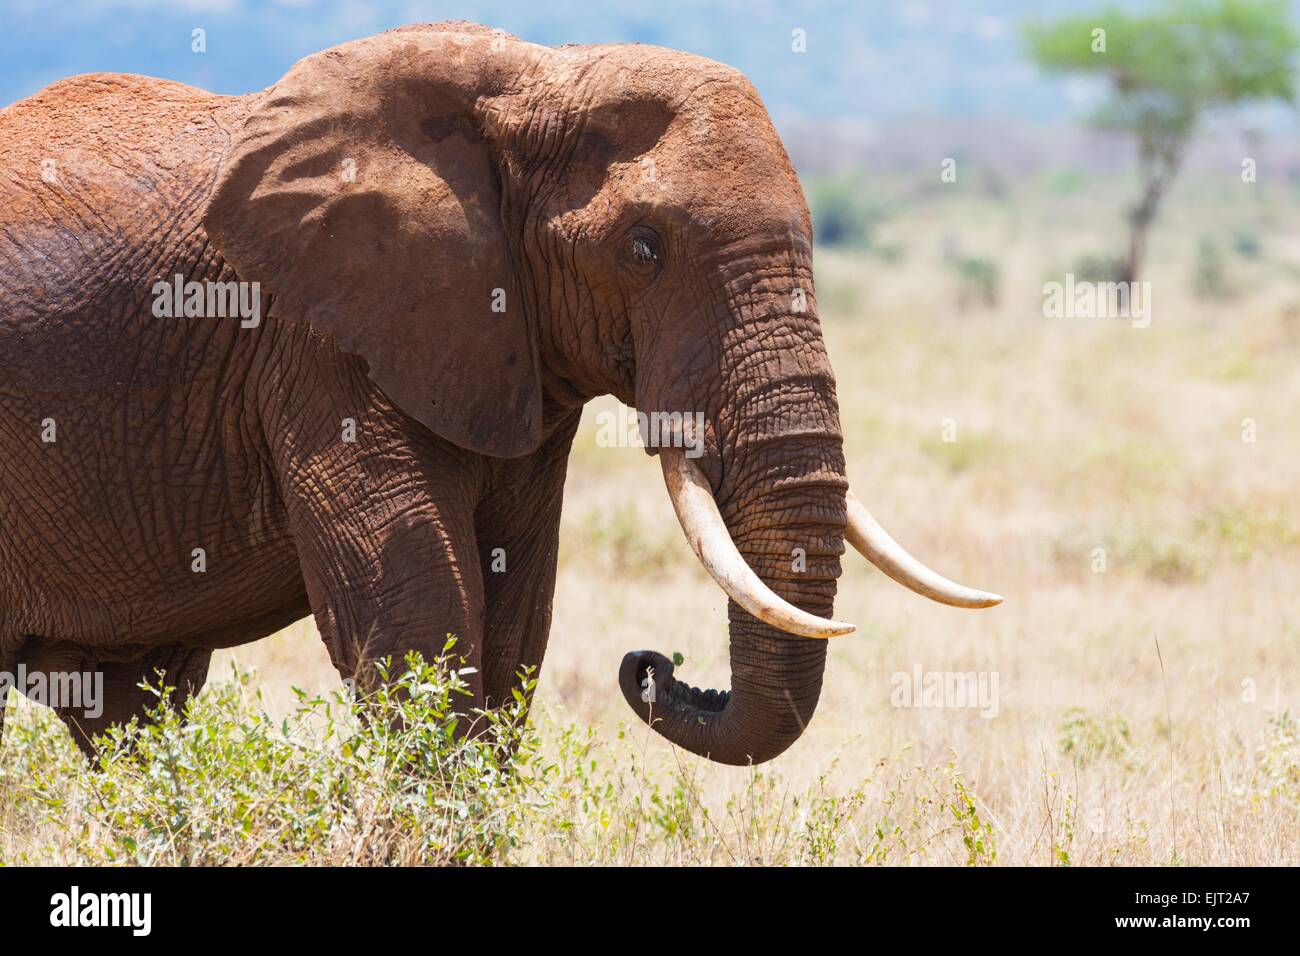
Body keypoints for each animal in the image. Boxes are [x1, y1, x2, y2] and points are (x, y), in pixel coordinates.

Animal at [0, 21, 999, 765]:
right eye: (643, 247)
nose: (652, 664)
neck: (533, 81)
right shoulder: (317, 342)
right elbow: (417, 607)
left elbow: (515, 612)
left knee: (128, 705)